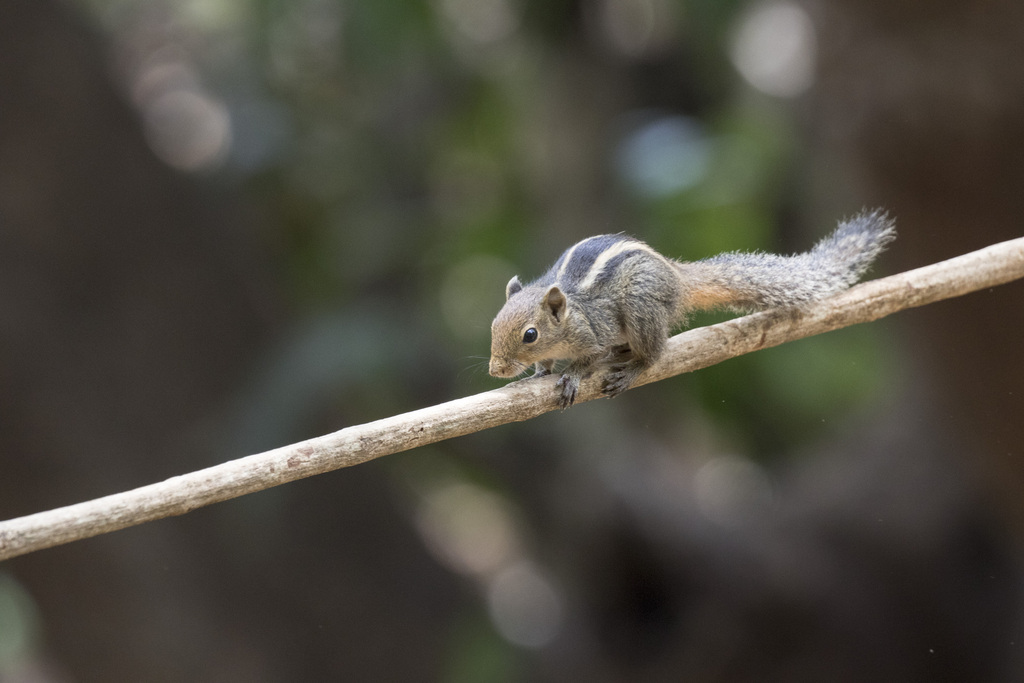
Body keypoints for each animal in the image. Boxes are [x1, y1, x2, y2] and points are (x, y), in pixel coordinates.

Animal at [489, 209, 896, 408]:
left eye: (530, 334)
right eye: (493, 326)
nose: (495, 370)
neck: (572, 313)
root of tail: (677, 277)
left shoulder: (595, 330)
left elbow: (588, 358)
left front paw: (571, 375)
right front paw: (540, 372)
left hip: (641, 308)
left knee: (655, 352)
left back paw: (633, 367)